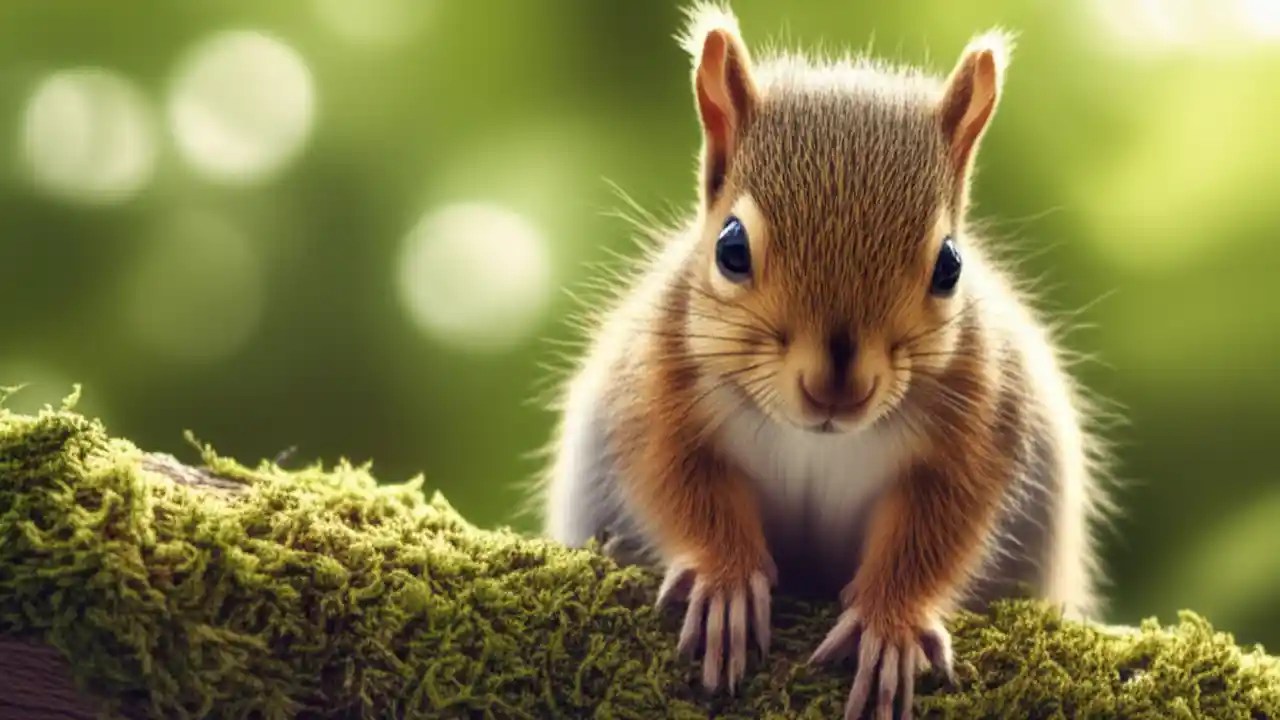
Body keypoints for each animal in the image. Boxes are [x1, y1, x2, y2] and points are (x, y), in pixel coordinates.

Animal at [540, 3, 1110, 718]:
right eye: (730, 248)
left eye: (950, 265)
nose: (837, 388)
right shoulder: (652, 394)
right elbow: (677, 483)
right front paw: (725, 582)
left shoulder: (982, 425)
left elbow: (938, 531)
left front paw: (890, 625)